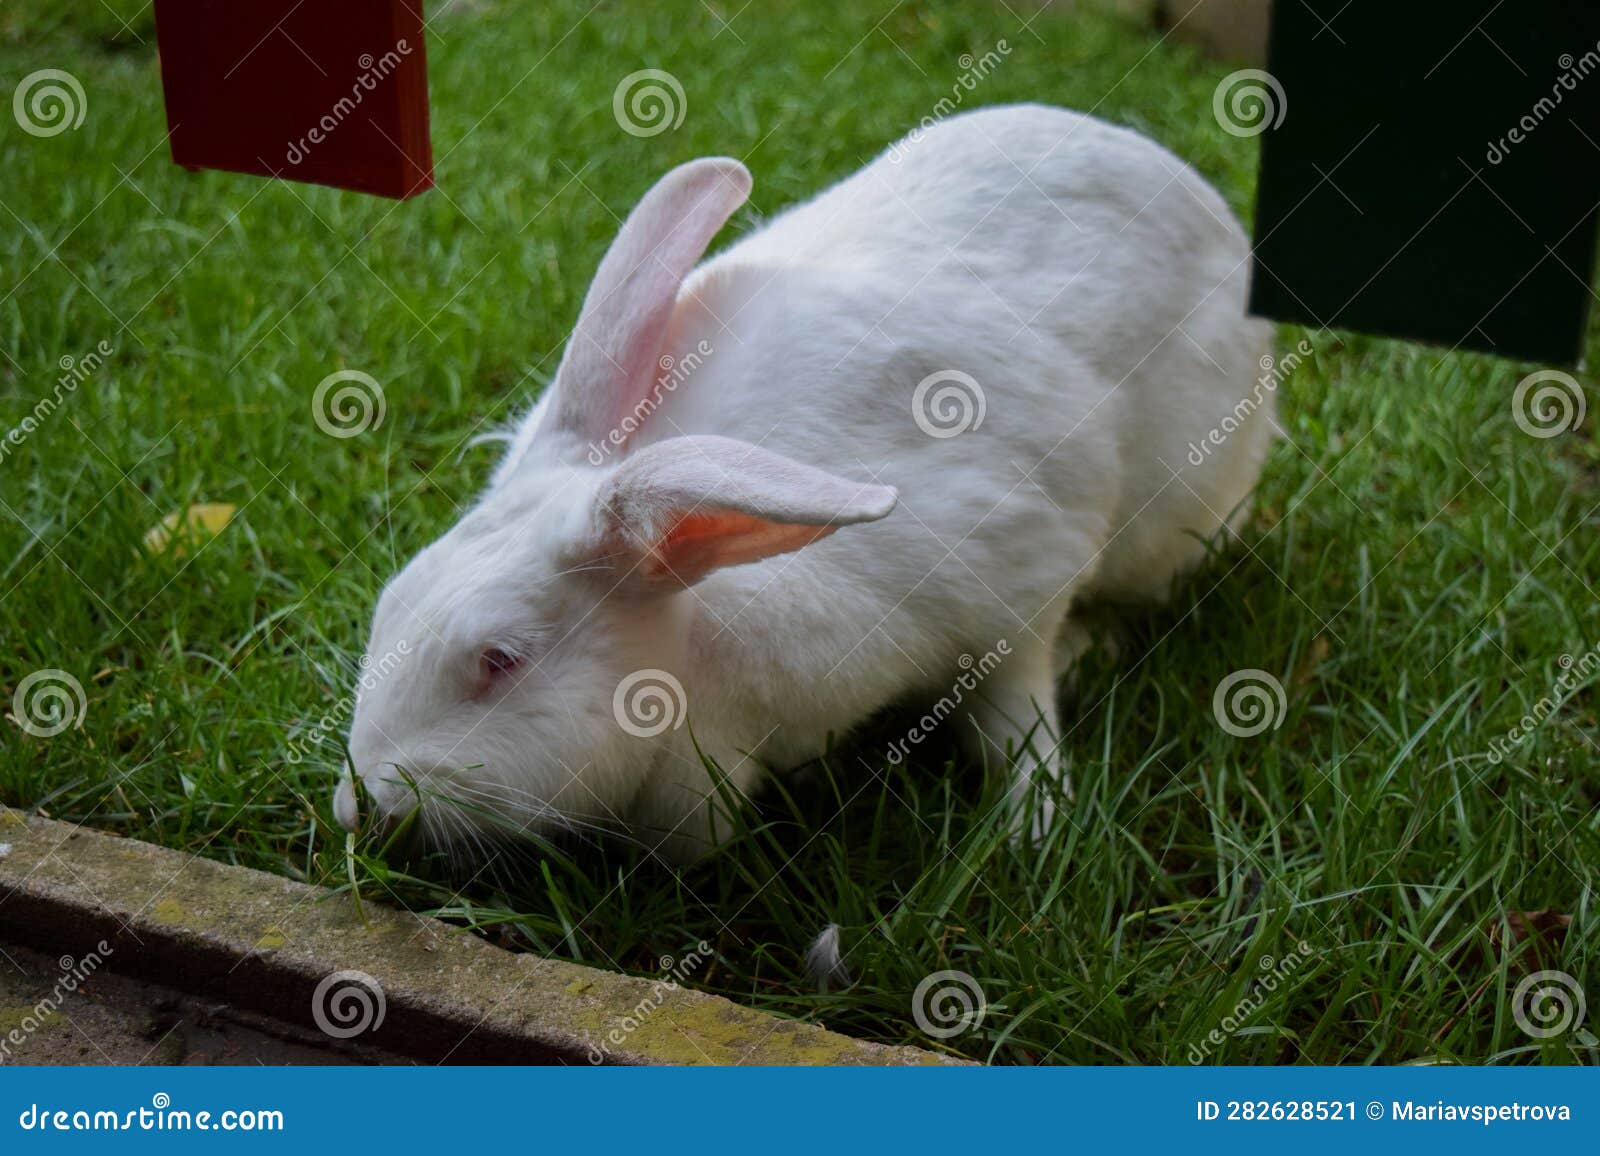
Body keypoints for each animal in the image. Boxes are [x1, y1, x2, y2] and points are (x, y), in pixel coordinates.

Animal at [336, 102, 1275, 863]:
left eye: (500, 660)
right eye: (389, 603)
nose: (362, 807)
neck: (698, 630)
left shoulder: (1016, 594)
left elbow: (1020, 714)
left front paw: (1031, 832)